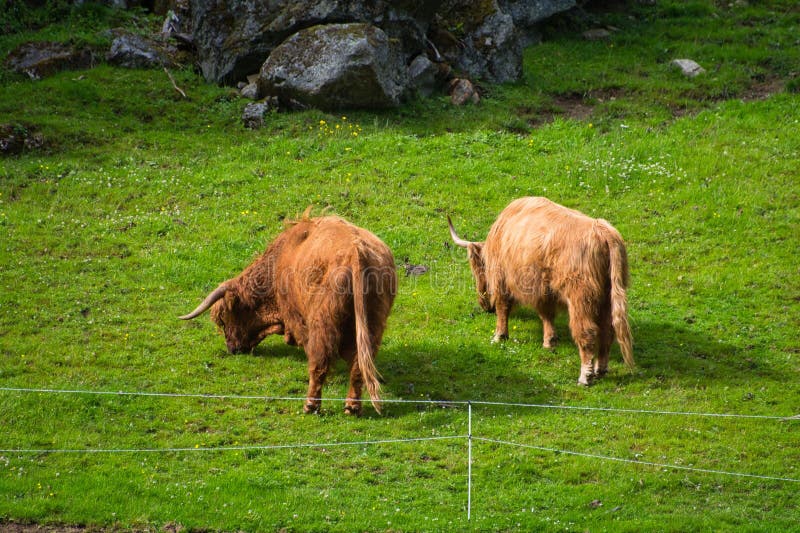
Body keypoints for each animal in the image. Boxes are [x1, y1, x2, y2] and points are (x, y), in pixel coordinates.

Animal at [180, 212, 397, 415]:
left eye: (224, 319)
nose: (232, 349)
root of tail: (356, 252)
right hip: (372, 325)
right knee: (358, 366)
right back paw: (352, 407)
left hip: (322, 324)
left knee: (319, 362)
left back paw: (311, 405)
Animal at [448, 196, 633, 385]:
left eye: (476, 270)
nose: (484, 306)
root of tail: (603, 231)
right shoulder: (544, 289)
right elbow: (547, 315)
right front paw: (549, 341)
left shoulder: (503, 280)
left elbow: (503, 308)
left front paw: (499, 336)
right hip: (608, 297)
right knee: (607, 332)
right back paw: (600, 369)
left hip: (581, 298)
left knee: (587, 333)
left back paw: (585, 376)